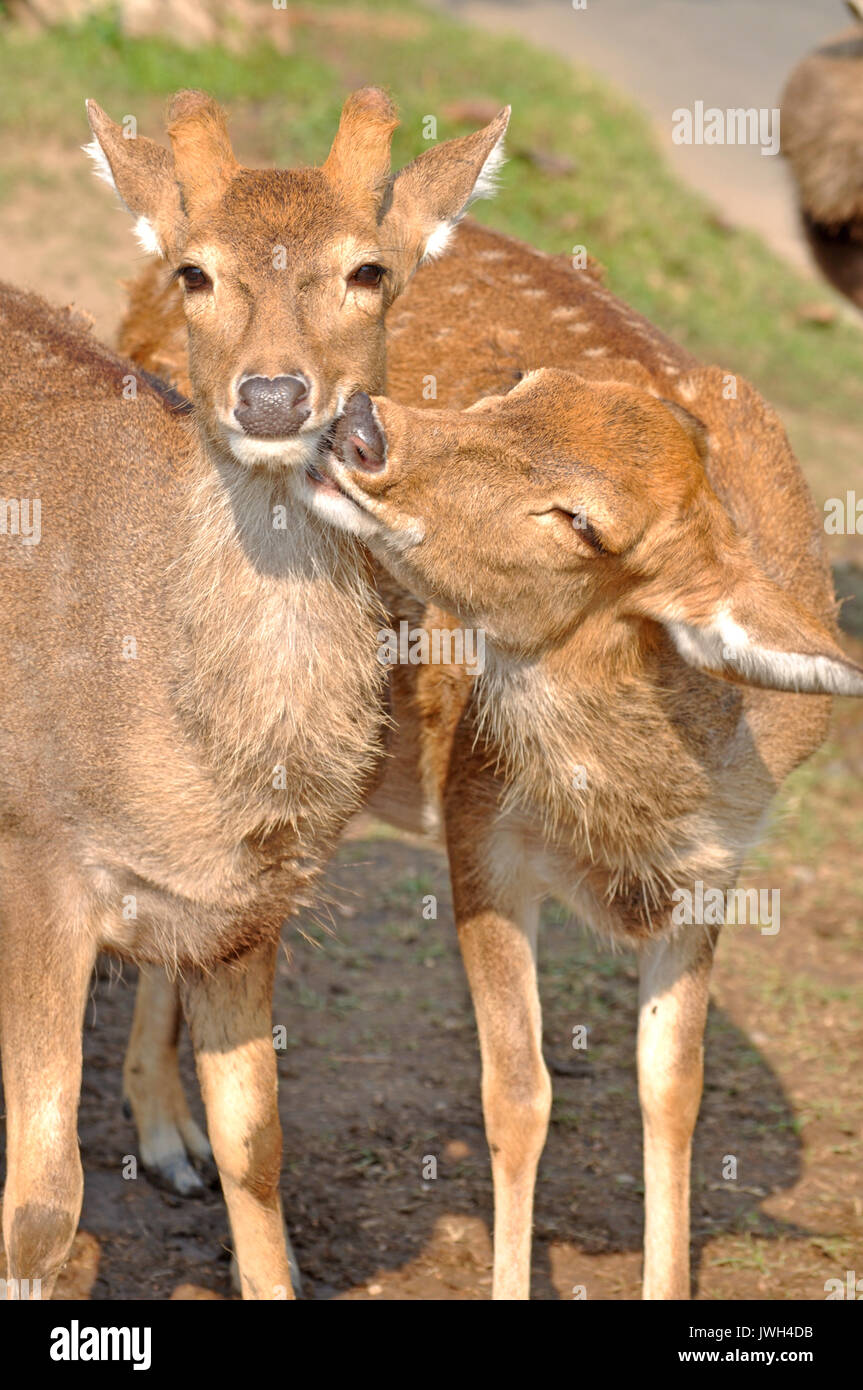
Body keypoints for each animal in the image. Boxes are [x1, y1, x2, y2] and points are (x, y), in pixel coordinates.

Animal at [0, 88, 508, 1300]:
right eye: (194, 271)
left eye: (369, 269)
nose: (273, 395)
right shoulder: (32, 856)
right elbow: (42, 1203)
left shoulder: (250, 912)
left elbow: (259, 1145)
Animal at [310, 369, 863, 1300]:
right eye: (516, 385)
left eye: (583, 524)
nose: (361, 426)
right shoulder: (476, 827)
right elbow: (517, 1092)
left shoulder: (712, 873)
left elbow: (674, 1085)